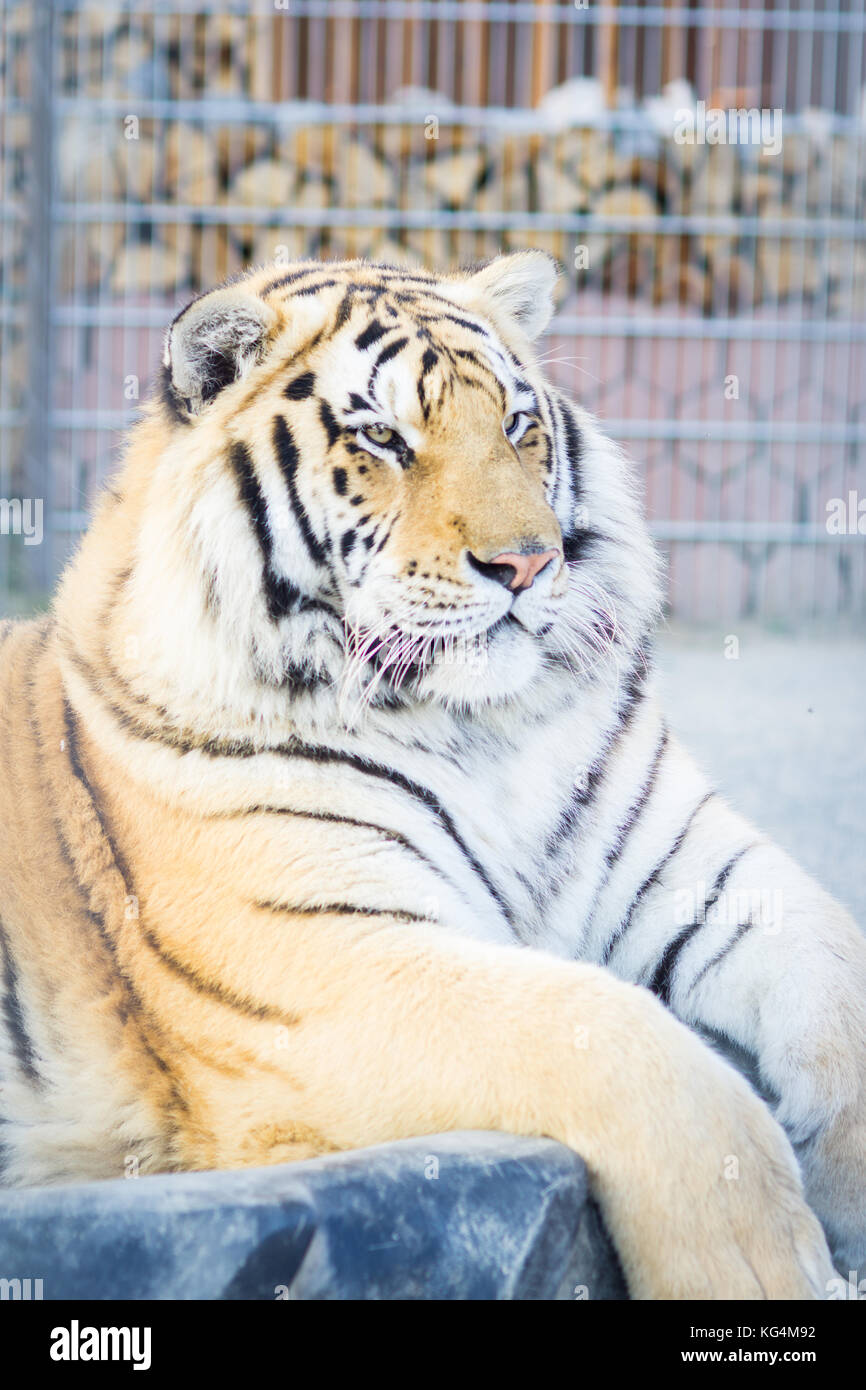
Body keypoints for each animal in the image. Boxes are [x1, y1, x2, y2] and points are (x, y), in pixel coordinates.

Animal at [0, 251, 863, 1301]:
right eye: (382, 437)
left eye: (519, 425)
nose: (526, 566)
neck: (480, 728)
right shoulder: (325, 967)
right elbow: (624, 1040)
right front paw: (770, 1274)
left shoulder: (692, 864)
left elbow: (839, 975)